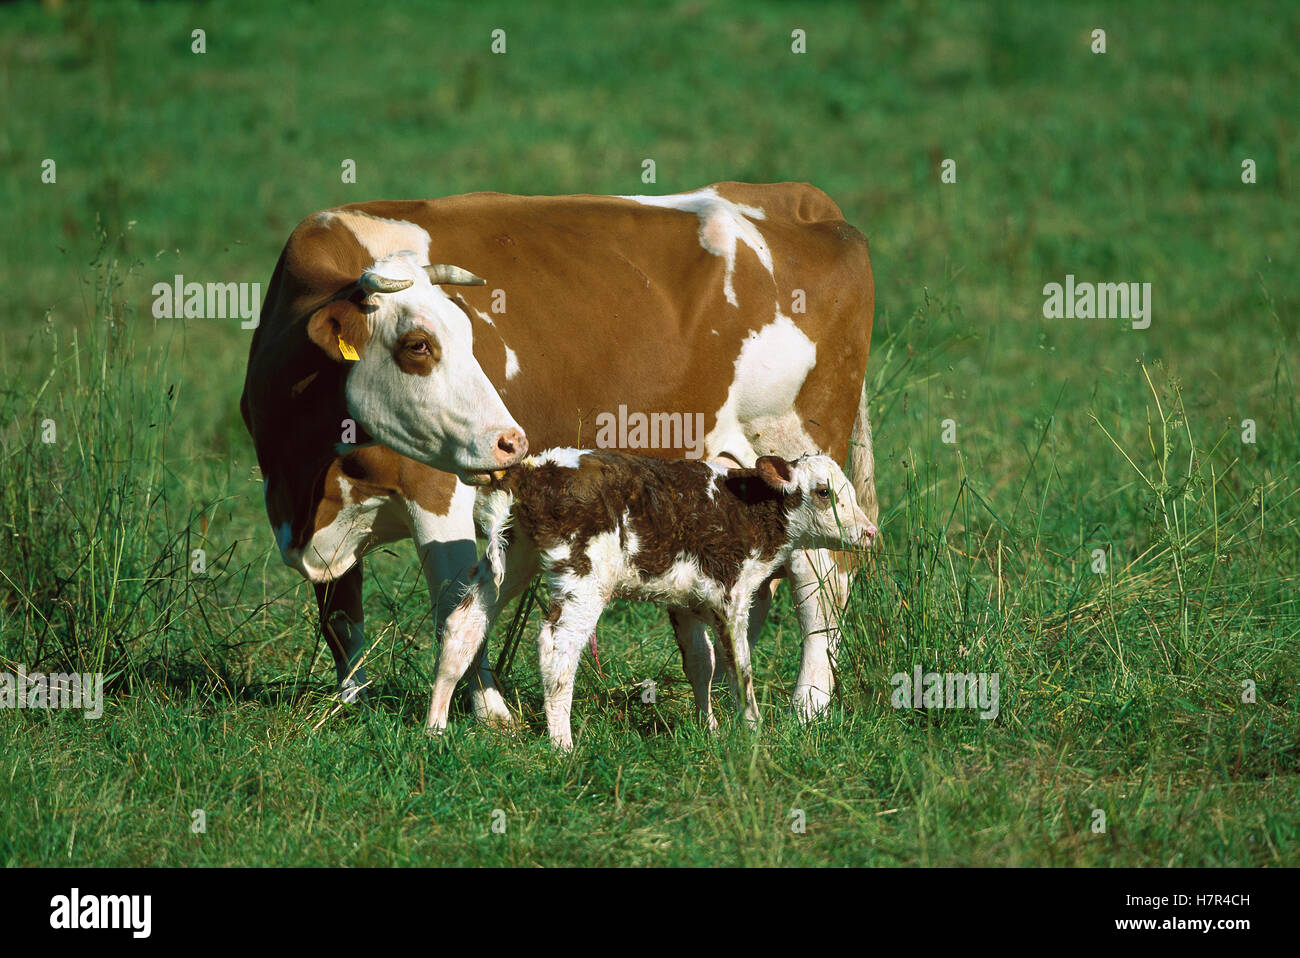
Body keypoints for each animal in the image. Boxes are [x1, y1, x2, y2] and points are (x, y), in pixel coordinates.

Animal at [426, 449, 877, 749]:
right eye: (824, 492)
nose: (870, 532)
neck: (748, 509)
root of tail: (534, 470)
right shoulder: (731, 597)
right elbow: (740, 668)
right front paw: (752, 731)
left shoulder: (685, 602)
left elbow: (701, 664)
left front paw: (709, 727)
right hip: (583, 580)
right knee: (557, 648)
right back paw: (562, 744)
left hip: (513, 558)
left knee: (463, 626)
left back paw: (435, 727)